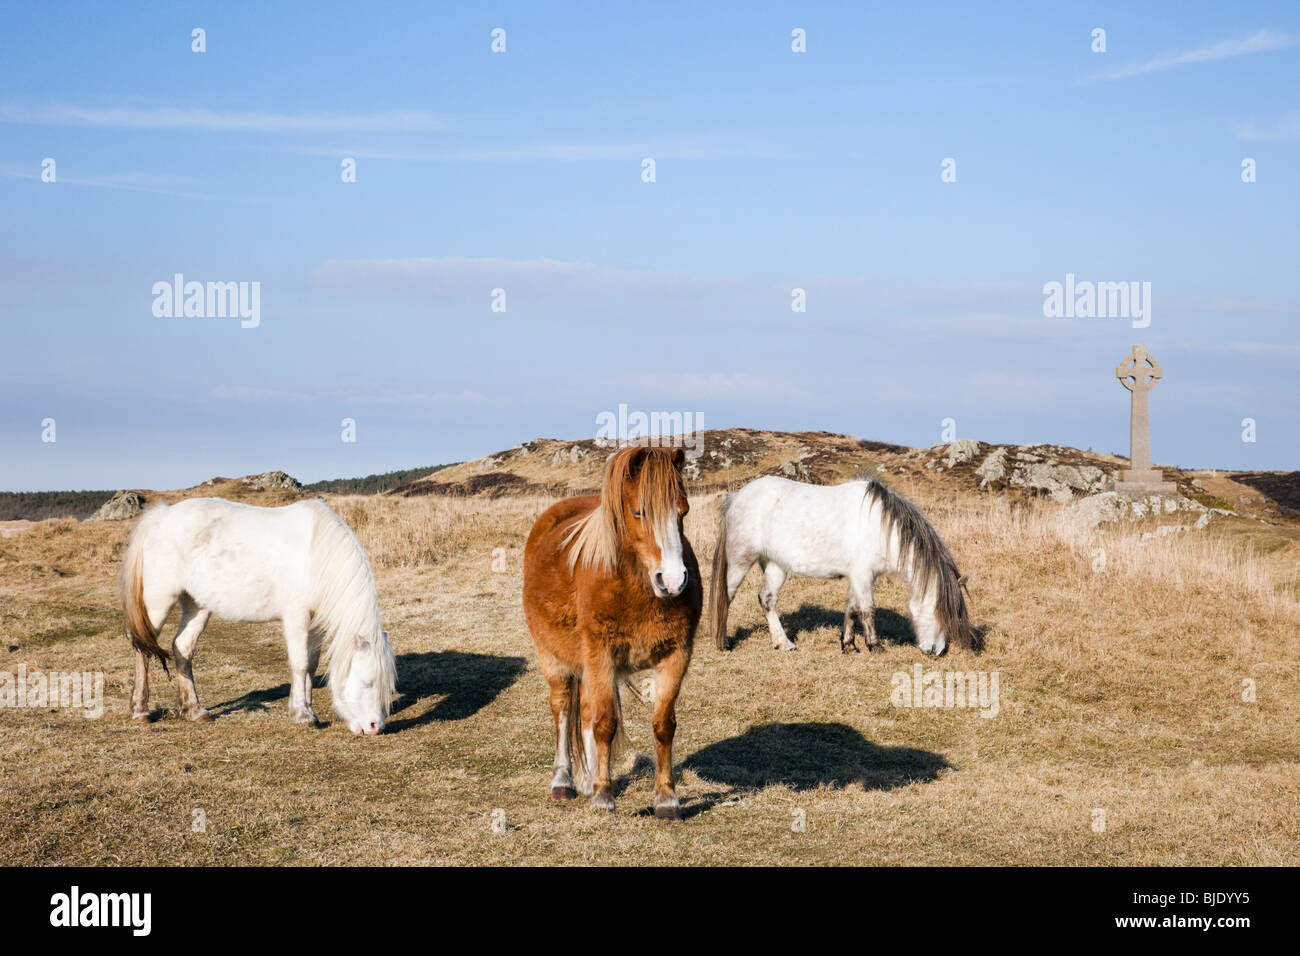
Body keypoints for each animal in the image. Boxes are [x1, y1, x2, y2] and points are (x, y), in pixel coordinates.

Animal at [118, 496, 397, 734]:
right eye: (367, 682)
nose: (375, 727)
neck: (316, 552)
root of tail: (161, 515)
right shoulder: (296, 617)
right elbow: (300, 663)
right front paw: (303, 715)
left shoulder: (315, 622)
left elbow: (311, 664)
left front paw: (307, 710)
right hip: (158, 603)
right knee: (143, 649)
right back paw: (141, 710)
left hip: (197, 605)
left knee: (182, 647)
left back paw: (194, 710)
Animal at [522, 445, 702, 819]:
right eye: (639, 512)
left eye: (683, 510)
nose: (674, 581)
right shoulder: (600, 654)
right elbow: (605, 723)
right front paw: (604, 796)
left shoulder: (676, 655)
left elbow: (663, 725)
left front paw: (667, 799)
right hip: (553, 658)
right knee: (563, 709)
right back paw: (563, 782)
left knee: (586, 712)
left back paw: (589, 778)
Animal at [710, 475, 978, 656]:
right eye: (939, 613)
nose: (936, 651)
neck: (881, 527)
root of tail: (736, 498)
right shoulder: (862, 574)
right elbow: (868, 609)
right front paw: (875, 646)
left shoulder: (859, 576)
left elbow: (852, 608)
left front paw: (848, 645)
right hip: (740, 560)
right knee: (727, 596)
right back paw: (722, 642)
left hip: (776, 564)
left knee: (767, 599)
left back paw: (783, 643)